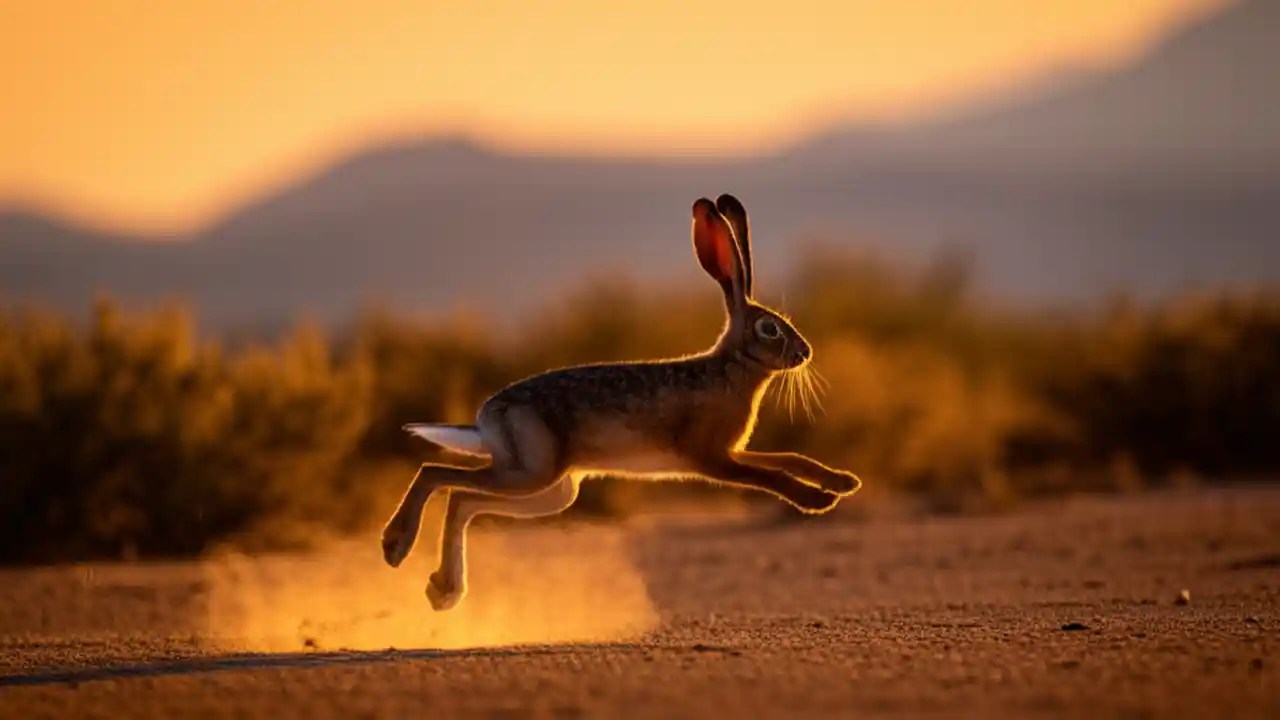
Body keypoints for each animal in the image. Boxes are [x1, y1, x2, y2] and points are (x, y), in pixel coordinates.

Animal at [381, 194, 861, 611]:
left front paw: (842, 483)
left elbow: (789, 458)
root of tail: (486, 420)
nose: (805, 353)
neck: (732, 367)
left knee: (465, 499)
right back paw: (397, 546)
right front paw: (817, 501)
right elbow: (770, 476)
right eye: (770, 329)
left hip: (551, 490)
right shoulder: (710, 459)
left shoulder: (731, 451)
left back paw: (443, 589)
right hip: (531, 470)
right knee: (439, 476)